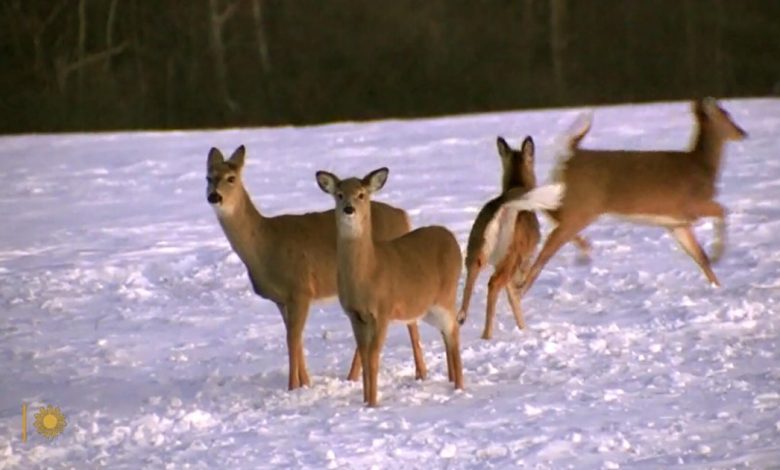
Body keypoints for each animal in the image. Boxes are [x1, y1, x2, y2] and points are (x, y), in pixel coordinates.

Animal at [206, 145, 428, 391]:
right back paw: (353, 377)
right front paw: (305, 382)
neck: (264, 243)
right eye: (208, 177)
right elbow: (294, 337)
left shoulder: (300, 288)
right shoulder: (282, 299)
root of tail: (403, 216)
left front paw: (293, 386)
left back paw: (419, 373)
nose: (214, 196)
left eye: (231, 178)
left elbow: (292, 339)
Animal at [315, 167, 464, 407]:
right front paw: (365, 401)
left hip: (445, 295)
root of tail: (449, 235)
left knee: (454, 331)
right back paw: (451, 382)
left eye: (361, 194)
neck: (368, 274)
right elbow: (365, 356)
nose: (349, 209)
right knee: (447, 332)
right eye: (339, 194)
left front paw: (373, 403)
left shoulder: (383, 310)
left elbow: (374, 357)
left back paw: (459, 388)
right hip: (427, 309)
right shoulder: (354, 315)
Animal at [457, 136, 566, 339]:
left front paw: (522, 327)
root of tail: (504, 208)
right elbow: (515, 291)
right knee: (494, 283)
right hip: (512, 252)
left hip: (476, 244)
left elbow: (511, 294)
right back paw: (487, 335)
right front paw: (523, 328)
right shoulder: (525, 256)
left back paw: (461, 318)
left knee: (472, 273)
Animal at [519, 98, 747, 299]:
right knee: (548, 244)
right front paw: (718, 254)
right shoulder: (692, 205)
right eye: (726, 114)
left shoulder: (677, 223)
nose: (742, 132)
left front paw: (718, 286)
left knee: (545, 212)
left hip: (572, 202)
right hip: (582, 207)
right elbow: (723, 211)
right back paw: (524, 286)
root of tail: (570, 153)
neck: (703, 167)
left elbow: (700, 257)